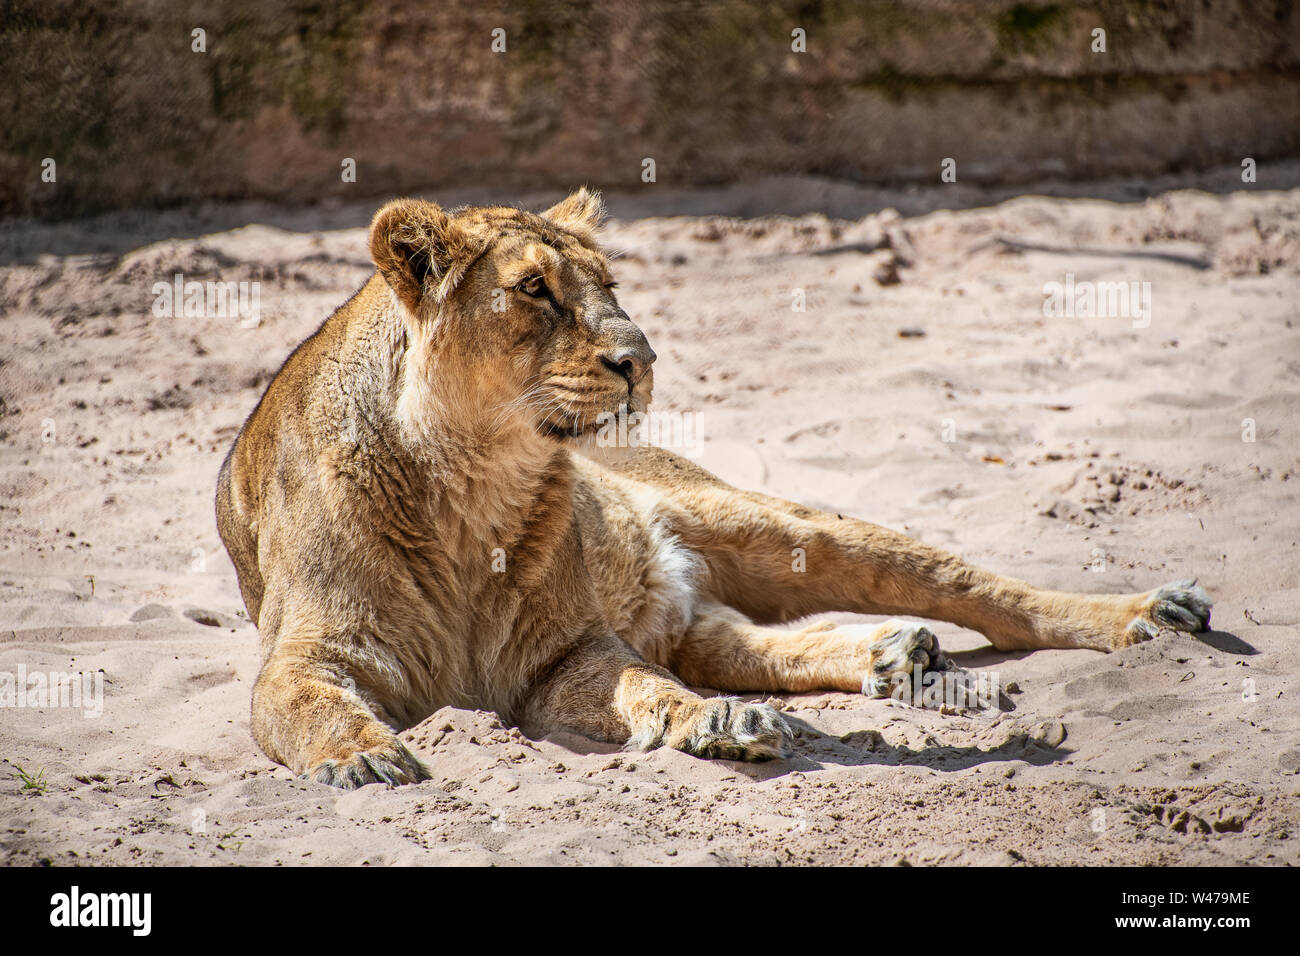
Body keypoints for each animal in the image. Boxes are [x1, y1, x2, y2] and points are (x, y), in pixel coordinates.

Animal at [215, 188, 1212, 788]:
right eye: (534, 290)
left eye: (610, 284)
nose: (640, 358)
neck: (475, 485)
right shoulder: (307, 655)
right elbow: (308, 705)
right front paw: (363, 760)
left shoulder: (564, 655)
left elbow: (649, 689)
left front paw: (720, 726)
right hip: (700, 605)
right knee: (748, 645)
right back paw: (898, 656)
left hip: (782, 528)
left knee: (985, 592)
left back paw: (1148, 614)